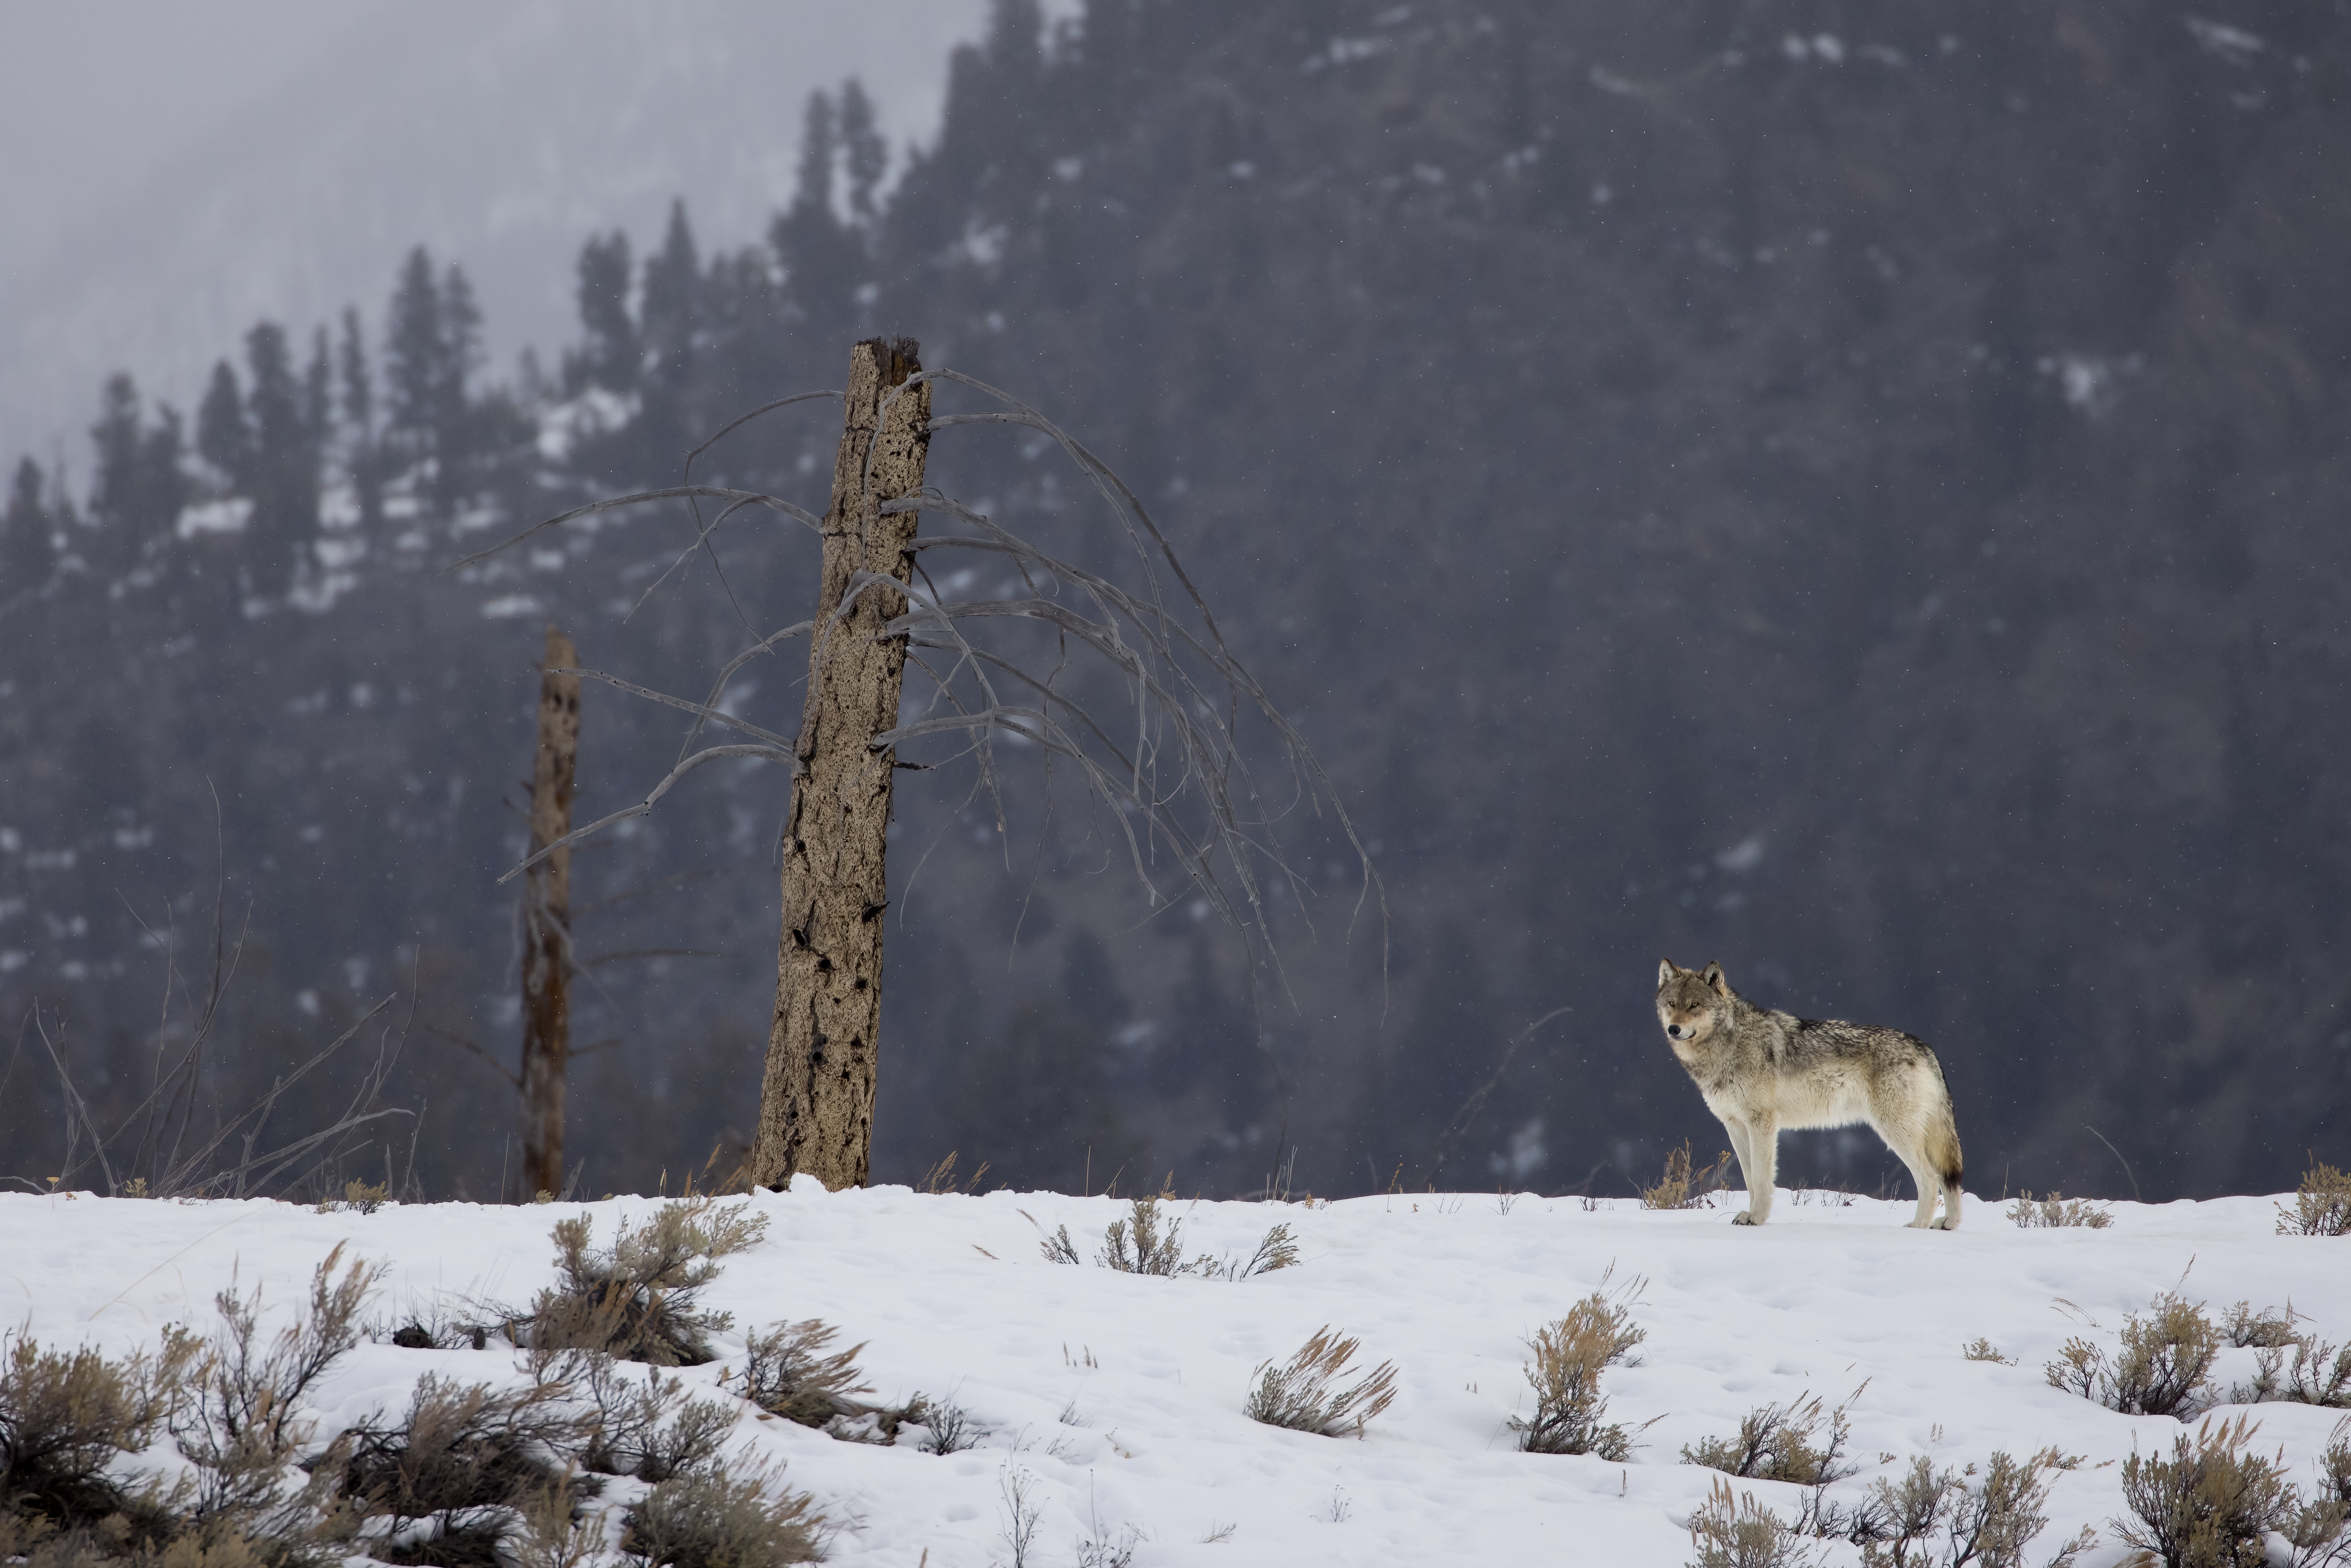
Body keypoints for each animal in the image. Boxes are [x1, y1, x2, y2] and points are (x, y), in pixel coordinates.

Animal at [1653, 959, 1964, 1229]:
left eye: (1695, 1005)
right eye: (1672, 1004)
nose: (1674, 1029)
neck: (1728, 1045)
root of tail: (1925, 1048)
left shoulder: (1762, 1123)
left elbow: (1762, 1179)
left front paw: (1757, 1219)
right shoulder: (1736, 1125)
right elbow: (1750, 1178)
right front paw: (1751, 1216)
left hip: (1896, 1132)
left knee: (1930, 1177)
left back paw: (1918, 1226)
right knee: (1946, 1178)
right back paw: (1948, 1223)